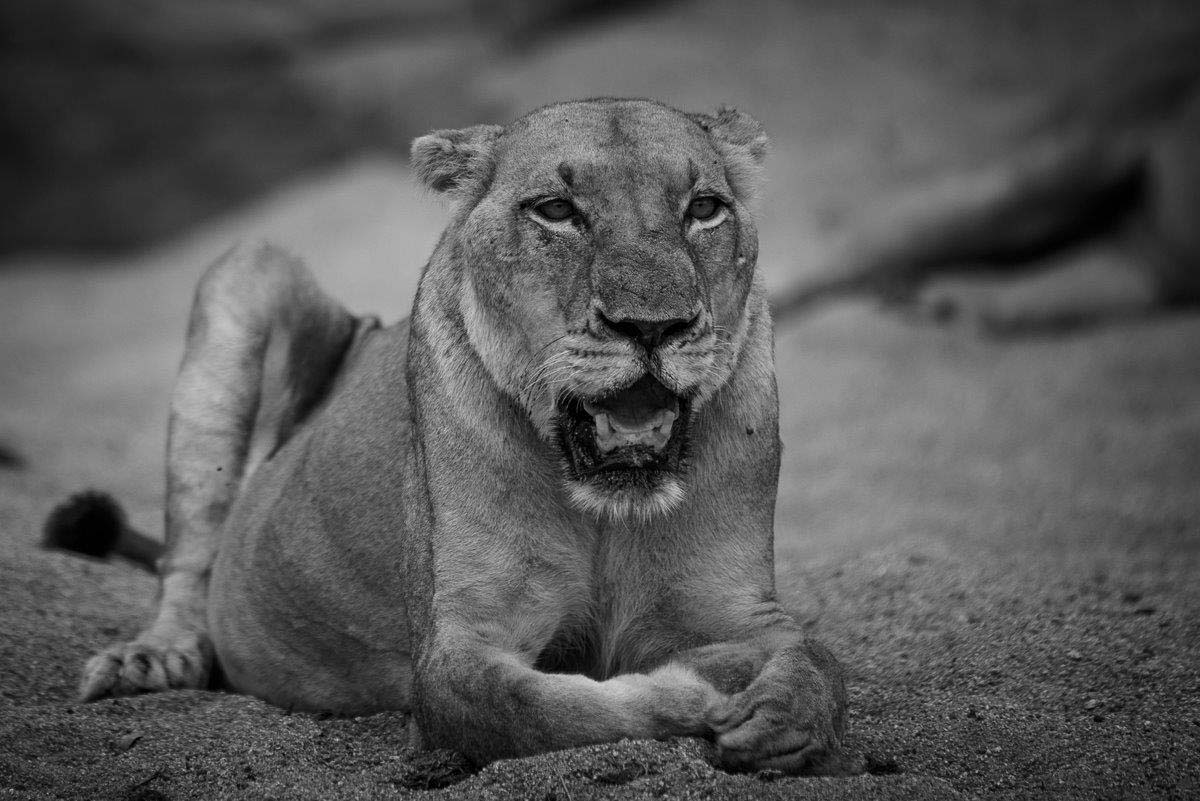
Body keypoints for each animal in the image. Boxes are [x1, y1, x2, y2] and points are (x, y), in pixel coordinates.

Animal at [44, 99, 847, 773]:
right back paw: (150, 660)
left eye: (704, 208)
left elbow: (816, 659)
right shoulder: (456, 645)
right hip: (245, 270)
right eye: (557, 211)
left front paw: (785, 710)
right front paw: (704, 687)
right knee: (187, 561)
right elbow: (524, 709)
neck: (605, 510)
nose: (653, 327)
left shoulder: (741, 608)